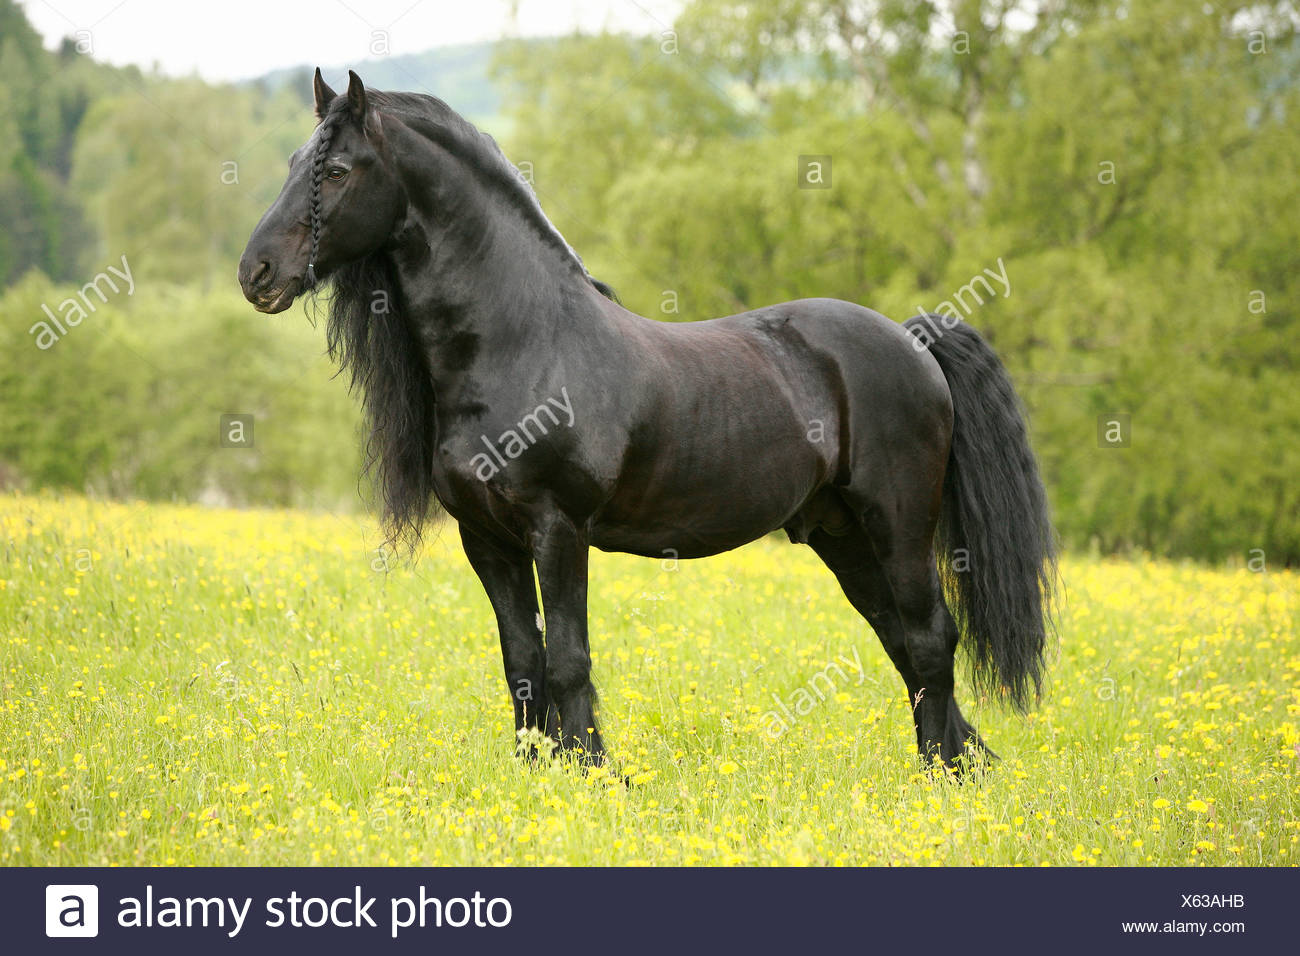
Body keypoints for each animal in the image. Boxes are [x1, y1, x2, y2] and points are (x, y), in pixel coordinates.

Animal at [238, 70, 1056, 771]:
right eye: (295, 162)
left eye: (338, 171)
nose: (257, 274)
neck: (525, 341)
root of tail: (914, 339)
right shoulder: (488, 541)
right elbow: (522, 662)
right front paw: (535, 774)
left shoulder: (558, 528)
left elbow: (568, 661)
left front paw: (593, 775)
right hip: (840, 533)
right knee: (900, 640)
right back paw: (960, 769)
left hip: (898, 522)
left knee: (929, 637)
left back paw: (941, 779)